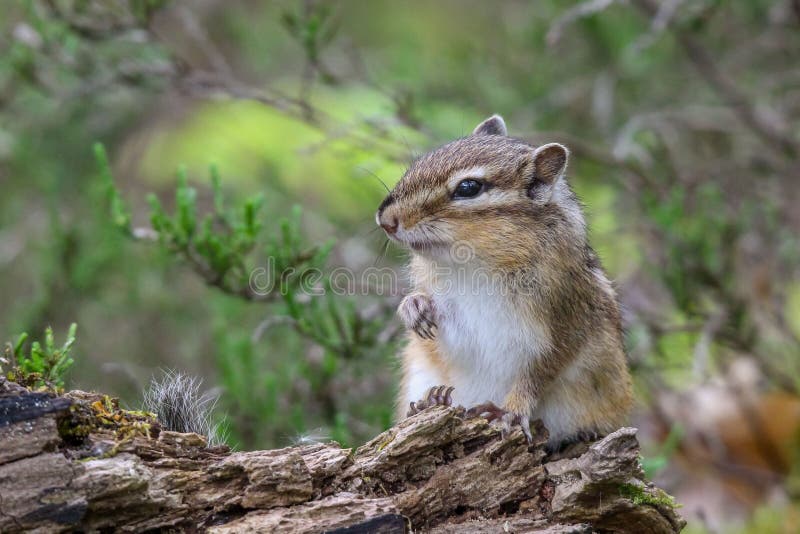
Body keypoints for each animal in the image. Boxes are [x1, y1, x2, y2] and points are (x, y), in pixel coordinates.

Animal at [376, 115, 633, 449]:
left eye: (468, 187)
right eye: (419, 162)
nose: (385, 219)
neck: (474, 263)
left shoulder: (565, 325)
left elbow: (537, 375)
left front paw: (510, 412)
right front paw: (415, 306)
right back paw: (430, 401)